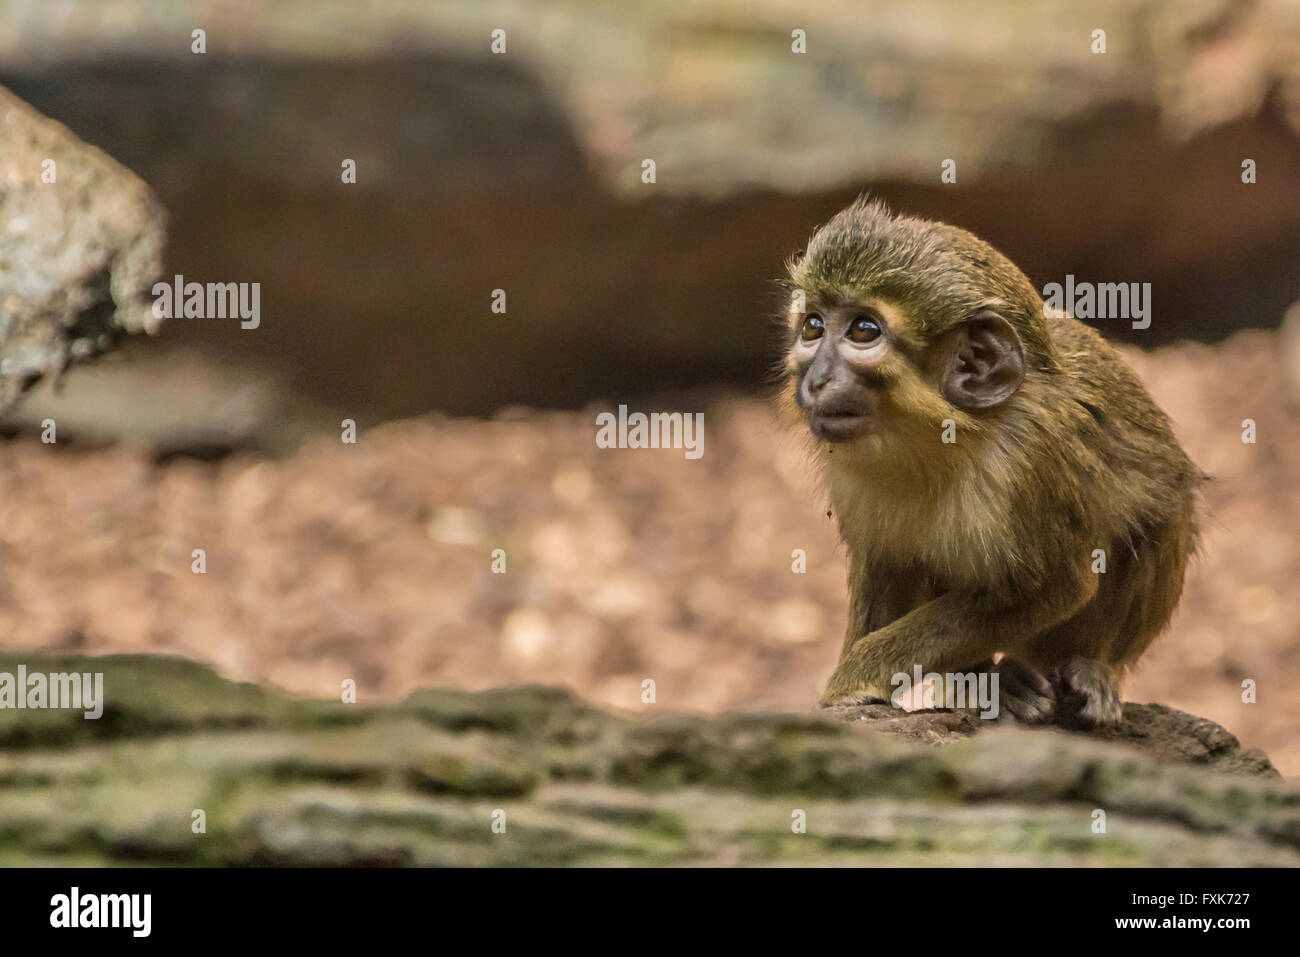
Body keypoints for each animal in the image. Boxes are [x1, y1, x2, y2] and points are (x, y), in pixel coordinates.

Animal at [780, 197, 1203, 727]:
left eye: (863, 331)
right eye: (814, 327)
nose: (815, 380)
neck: (946, 439)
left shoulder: (1029, 460)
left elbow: (1053, 587)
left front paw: (853, 678)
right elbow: (889, 565)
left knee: (1160, 517)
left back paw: (1089, 668)